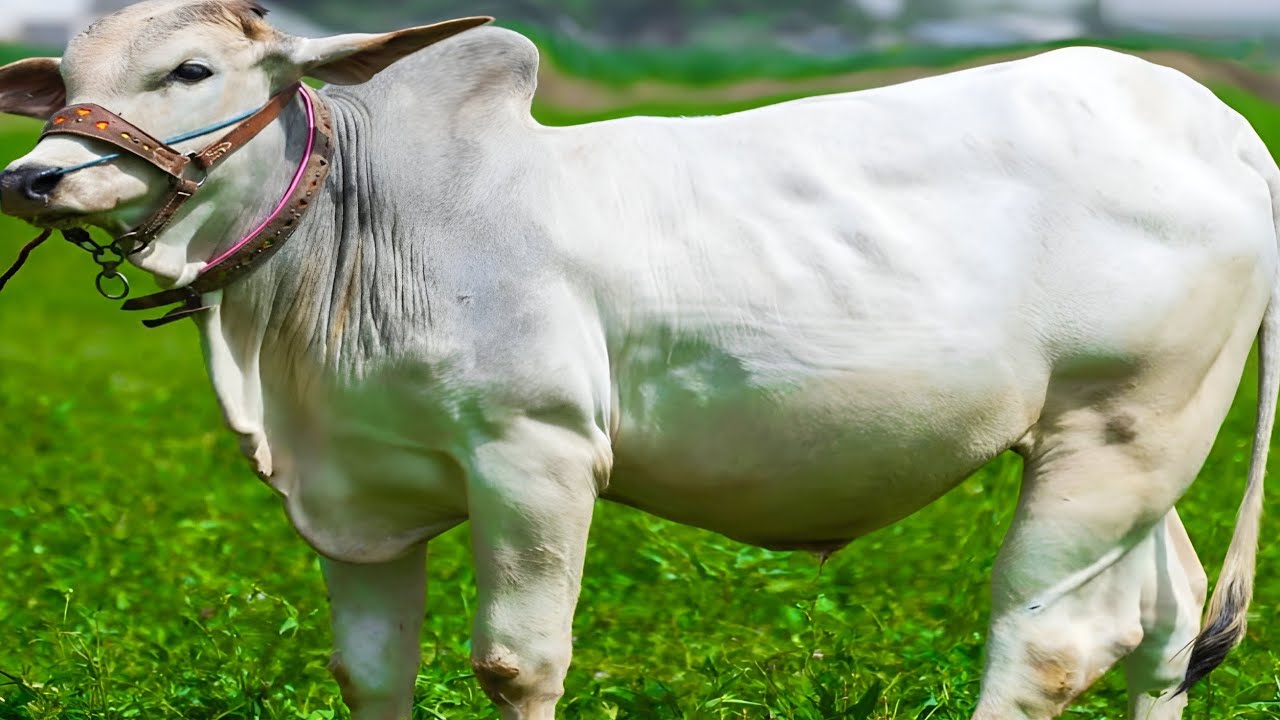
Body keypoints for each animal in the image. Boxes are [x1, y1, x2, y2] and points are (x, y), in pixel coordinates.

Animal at [0, 1, 1277, 718]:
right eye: (64, 80)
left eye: (190, 72)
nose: (35, 178)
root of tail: (1218, 125)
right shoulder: (359, 495)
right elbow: (370, 672)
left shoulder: (535, 456)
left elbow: (517, 666)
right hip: (1116, 447)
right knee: (1162, 627)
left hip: (1115, 433)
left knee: (1052, 644)